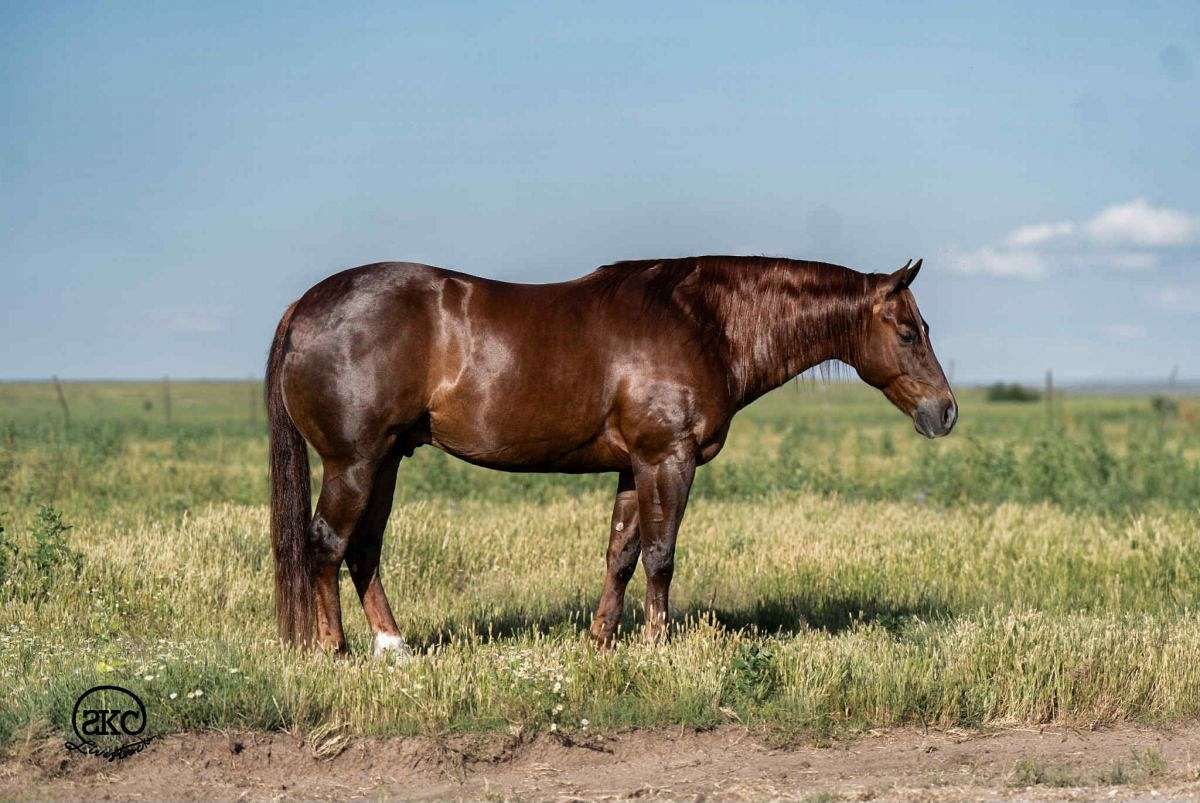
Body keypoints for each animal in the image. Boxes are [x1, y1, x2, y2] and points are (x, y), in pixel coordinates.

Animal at [266, 255, 957, 654]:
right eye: (907, 332)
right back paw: (335, 651)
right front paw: (657, 645)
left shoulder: (633, 466)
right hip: (354, 462)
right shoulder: (667, 459)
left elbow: (621, 554)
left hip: (386, 459)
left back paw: (393, 647)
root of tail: (302, 308)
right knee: (326, 543)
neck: (701, 321)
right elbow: (660, 555)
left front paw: (602, 640)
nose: (945, 411)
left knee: (363, 548)